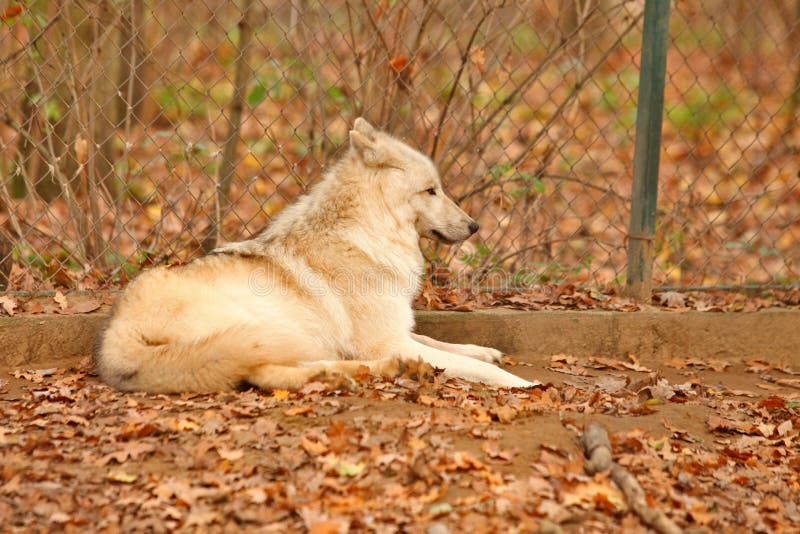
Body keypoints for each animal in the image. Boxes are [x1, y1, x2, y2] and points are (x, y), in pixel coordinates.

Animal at [95, 118, 536, 393]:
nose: (475, 226)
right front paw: (524, 384)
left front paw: (484, 350)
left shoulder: (397, 332)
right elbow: (475, 367)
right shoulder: (384, 339)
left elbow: (443, 342)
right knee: (266, 373)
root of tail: (114, 335)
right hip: (259, 327)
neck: (366, 235)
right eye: (431, 190)